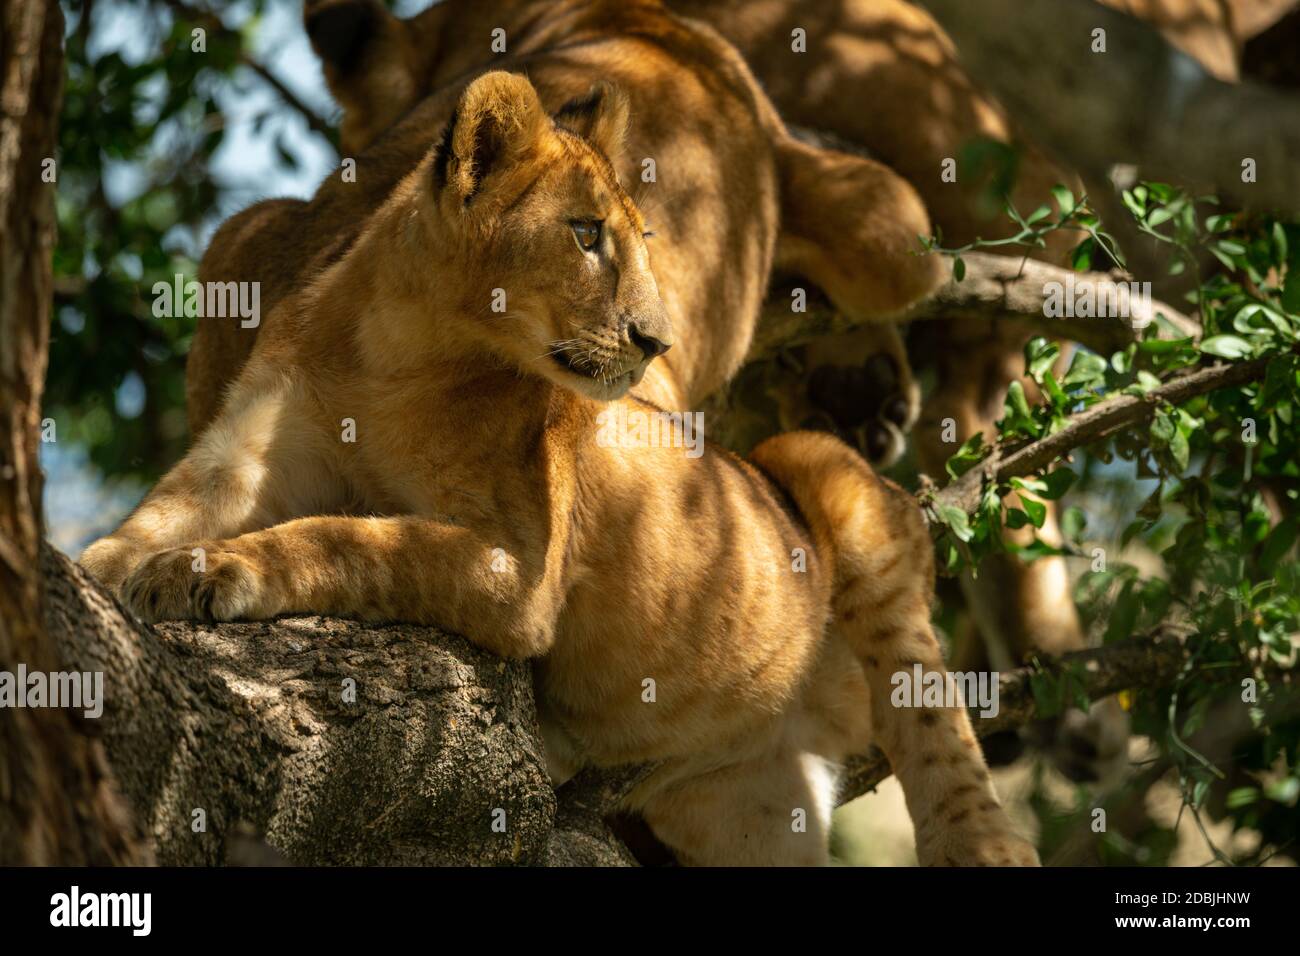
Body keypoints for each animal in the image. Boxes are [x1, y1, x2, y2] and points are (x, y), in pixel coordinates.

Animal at [82, 71, 1037, 866]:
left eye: (644, 240)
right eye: (584, 234)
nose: (657, 341)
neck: (392, 350)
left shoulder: (522, 569)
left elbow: (351, 538)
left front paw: (212, 570)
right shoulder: (246, 452)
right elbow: (162, 511)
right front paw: (100, 575)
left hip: (821, 471)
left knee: (930, 710)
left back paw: (984, 844)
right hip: (747, 813)